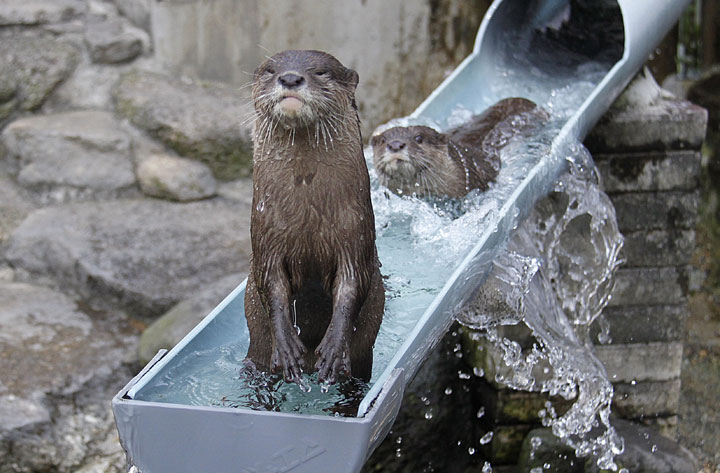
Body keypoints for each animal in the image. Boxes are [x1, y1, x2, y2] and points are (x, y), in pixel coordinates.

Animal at [244, 50, 384, 384]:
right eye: (270, 70)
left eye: (321, 72)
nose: (290, 77)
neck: (307, 216)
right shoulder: (265, 237)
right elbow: (270, 284)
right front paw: (286, 348)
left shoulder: (356, 235)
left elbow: (352, 286)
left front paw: (333, 348)